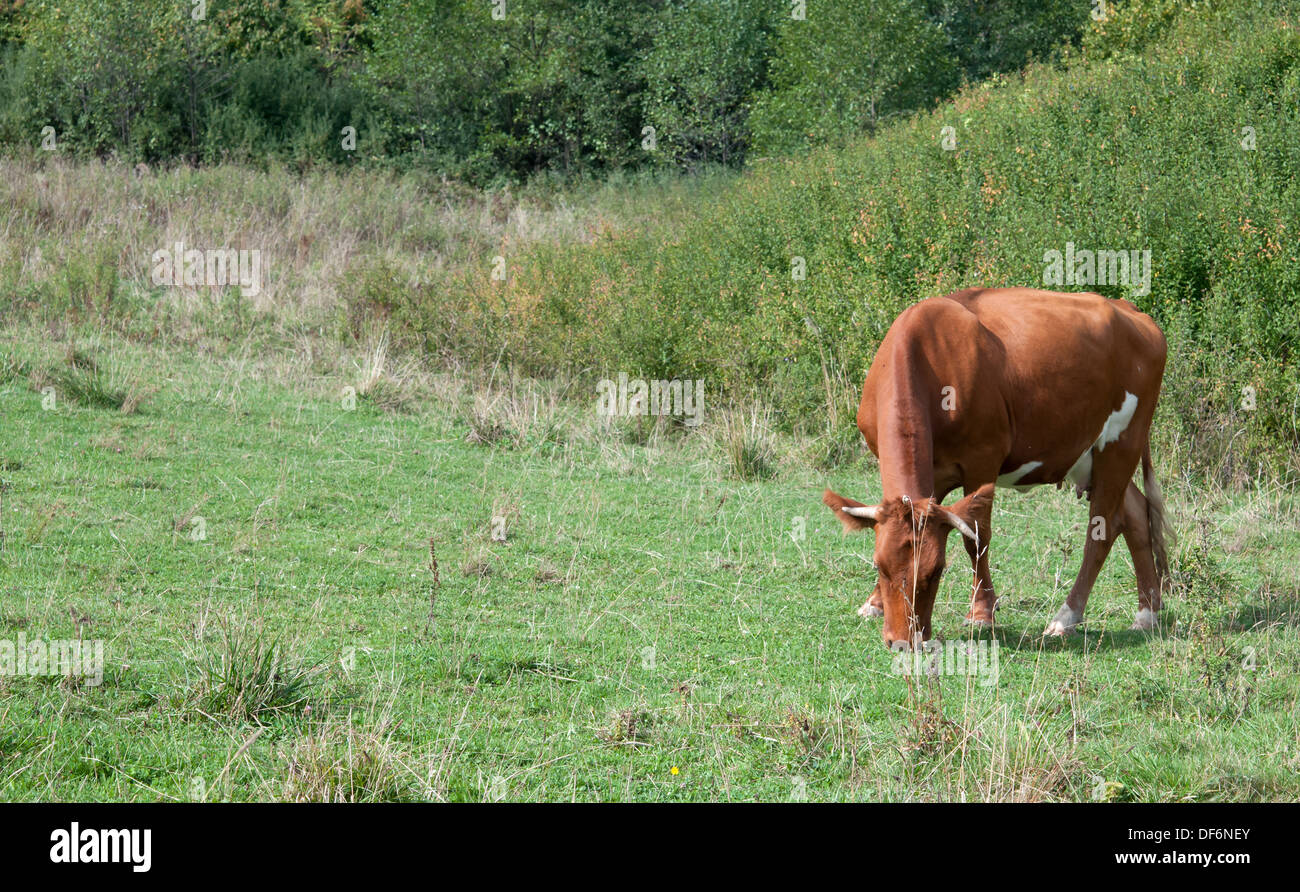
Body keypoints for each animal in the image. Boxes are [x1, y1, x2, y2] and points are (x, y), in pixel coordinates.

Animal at [823, 287, 1173, 649]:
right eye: (880, 567)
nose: (905, 640)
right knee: (1136, 515)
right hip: (1095, 456)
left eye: (936, 571)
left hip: (1122, 444)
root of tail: (1128, 309)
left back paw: (1066, 617)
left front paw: (982, 613)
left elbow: (977, 537)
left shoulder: (983, 459)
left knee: (1102, 530)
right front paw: (874, 603)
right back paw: (1147, 613)